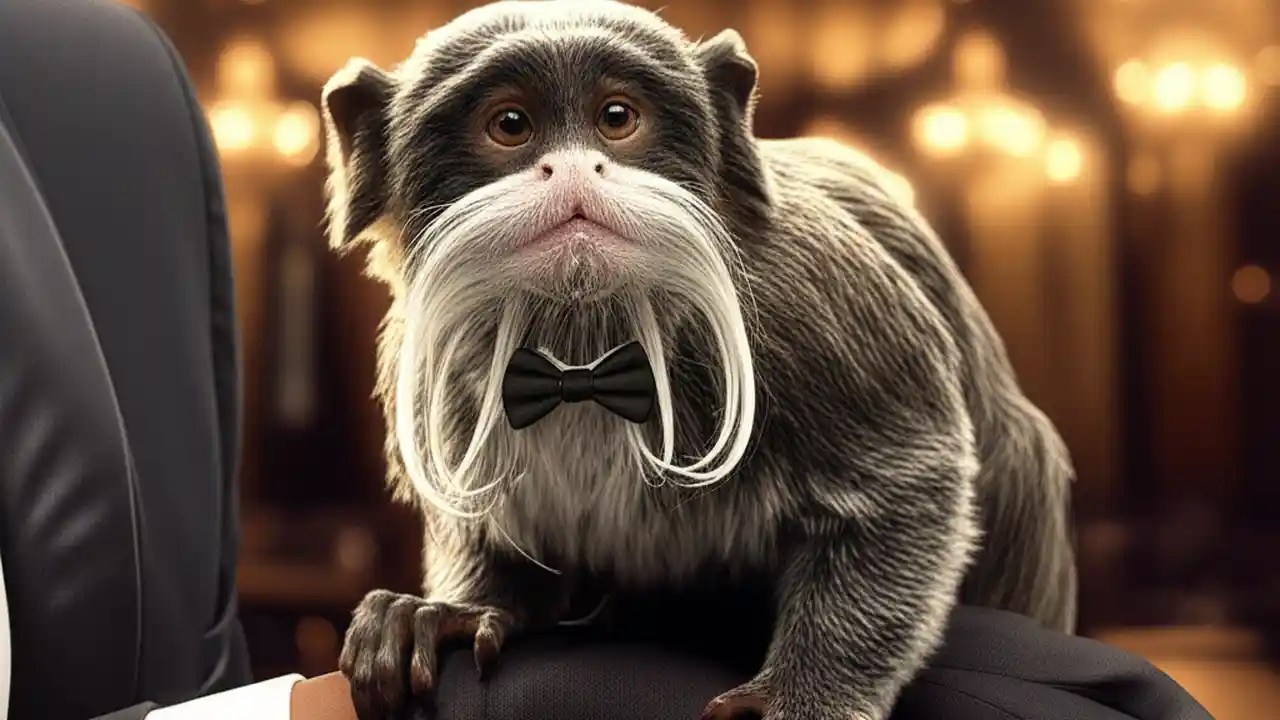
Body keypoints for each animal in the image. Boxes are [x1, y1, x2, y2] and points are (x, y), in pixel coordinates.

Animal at [318, 1, 1077, 718]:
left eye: (616, 118)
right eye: (510, 124)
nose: (574, 167)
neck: (586, 353)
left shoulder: (815, 297)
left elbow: (907, 484)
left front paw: (809, 694)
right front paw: (453, 612)